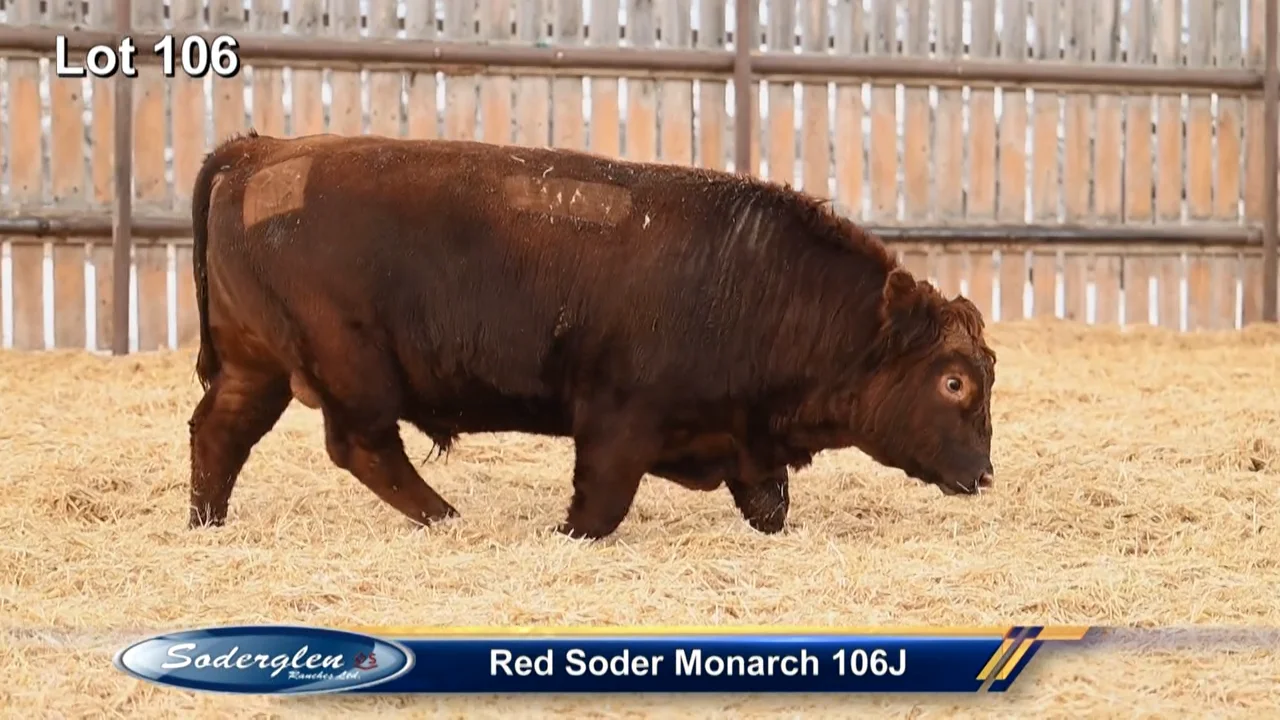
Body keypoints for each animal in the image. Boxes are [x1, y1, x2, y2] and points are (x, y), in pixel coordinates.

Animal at [186, 131, 997, 540]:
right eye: (953, 380)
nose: (984, 473)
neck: (754, 277)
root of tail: (260, 151)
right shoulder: (618, 421)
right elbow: (599, 504)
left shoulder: (744, 439)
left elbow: (769, 504)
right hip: (351, 367)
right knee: (361, 446)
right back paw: (445, 517)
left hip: (255, 366)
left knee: (219, 431)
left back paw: (207, 523)